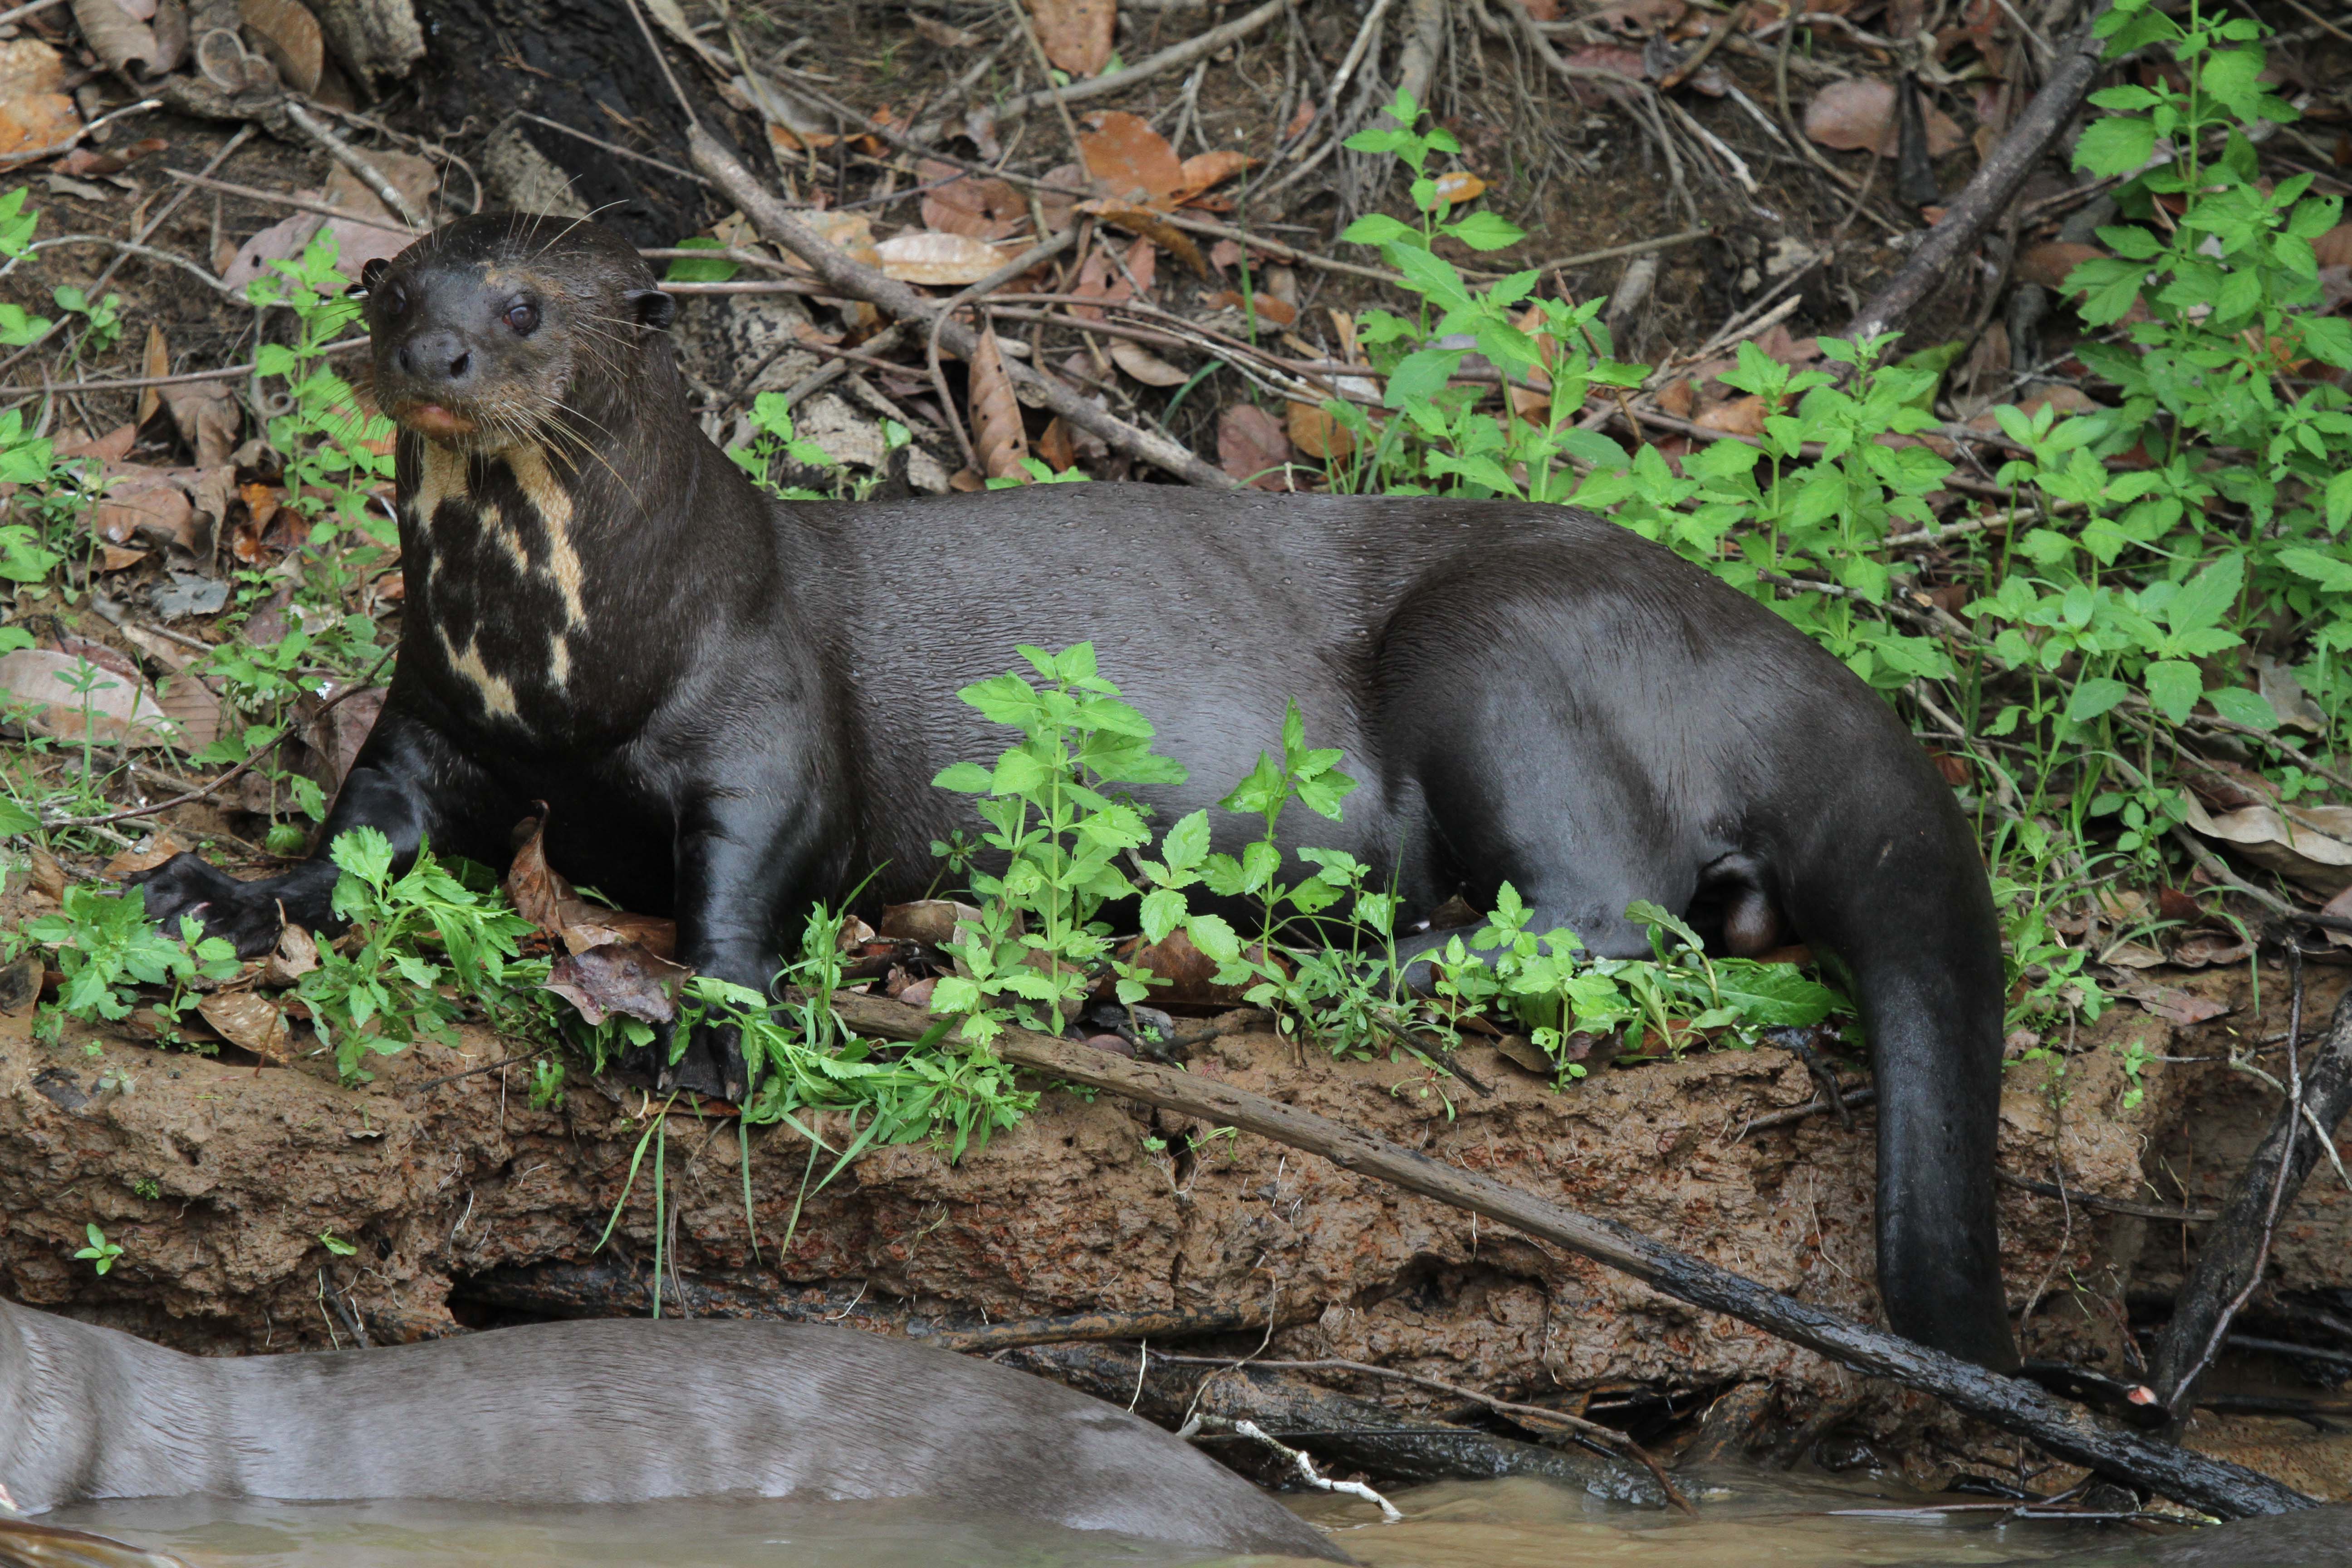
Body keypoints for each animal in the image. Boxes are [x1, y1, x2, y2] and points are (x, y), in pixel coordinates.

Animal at [134, 212, 2018, 1371]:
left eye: (525, 307)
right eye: (397, 294)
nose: (436, 357)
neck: (563, 656)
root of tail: (1765, 646)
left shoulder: (762, 711)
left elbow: (751, 864)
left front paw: (714, 1025)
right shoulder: (436, 719)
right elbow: (357, 840)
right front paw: (226, 891)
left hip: (1507, 645)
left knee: (1604, 914)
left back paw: (1293, 968)